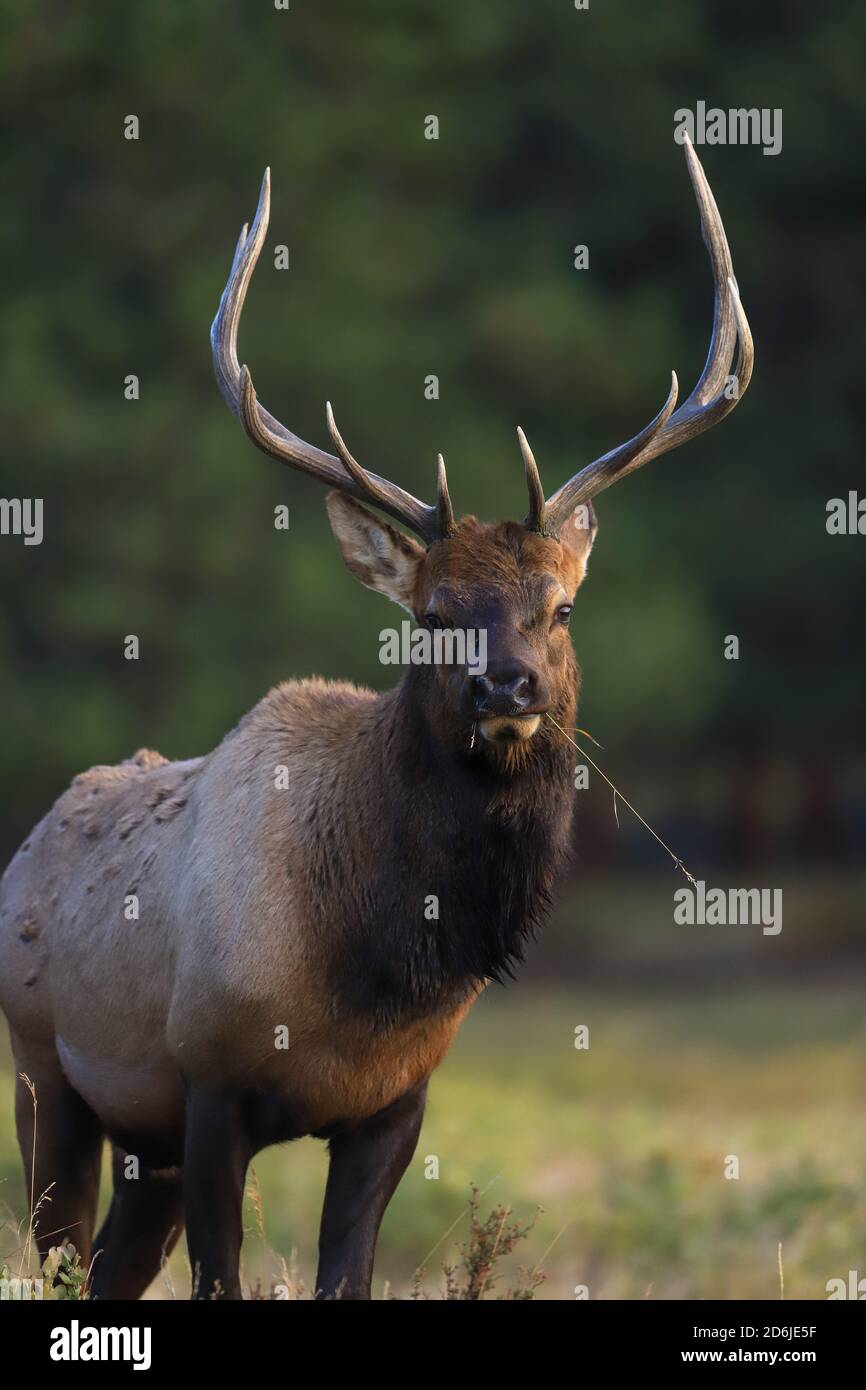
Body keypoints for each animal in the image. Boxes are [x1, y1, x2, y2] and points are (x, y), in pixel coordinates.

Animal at [0, 138, 752, 1300]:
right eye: (431, 614)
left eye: (561, 606)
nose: (505, 690)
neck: (368, 976)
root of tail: (28, 847)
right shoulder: (205, 1079)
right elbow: (221, 1277)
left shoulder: (396, 1101)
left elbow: (343, 1273)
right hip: (49, 1076)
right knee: (60, 1255)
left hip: (137, 1141)